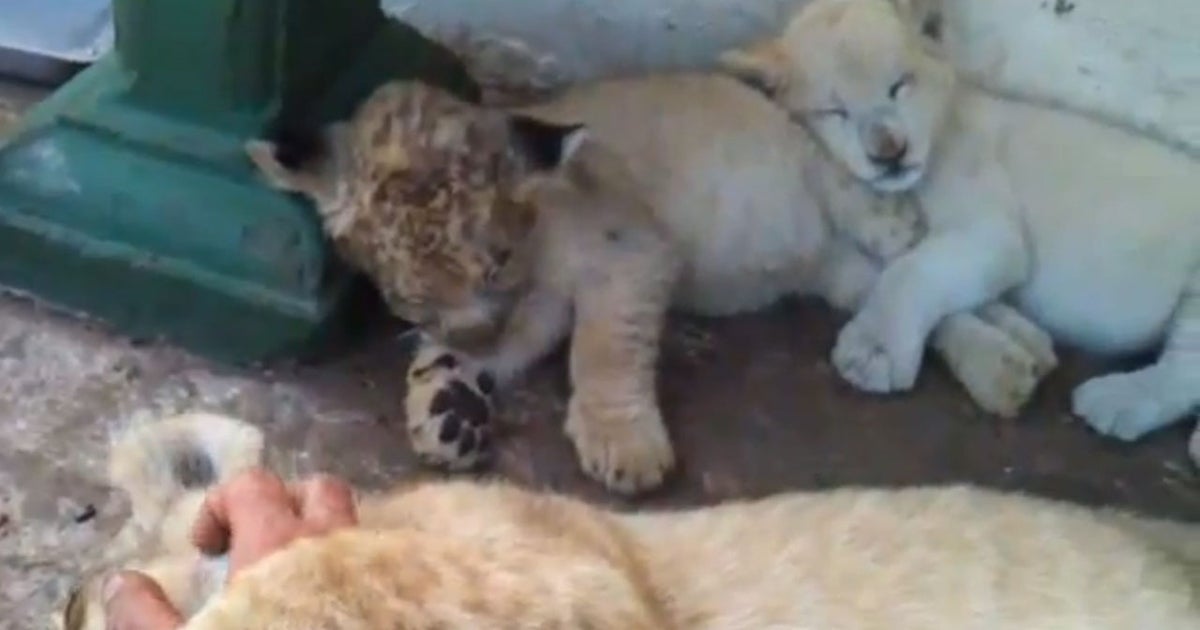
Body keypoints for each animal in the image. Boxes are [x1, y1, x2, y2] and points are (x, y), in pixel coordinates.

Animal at [246, 79, 1059, 494]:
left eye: (497, 261)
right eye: (406, 292)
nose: (478, 332)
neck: (536, 251)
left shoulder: (632, 251)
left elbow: (604, 349)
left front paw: (622, 441)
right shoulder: (535, 307)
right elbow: (460, 350)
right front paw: (447, 404)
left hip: (813, 162)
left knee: (886, 228)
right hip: (836, 271)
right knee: (917, 299)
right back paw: (1012, 358)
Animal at [717, 0, 1200, 451]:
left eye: (900, 84)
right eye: (836, 110)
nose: (889, 152)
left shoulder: (990, 229)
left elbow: (910, 272)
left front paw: (874, 349)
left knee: (1183, 369)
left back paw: (1118, 401)